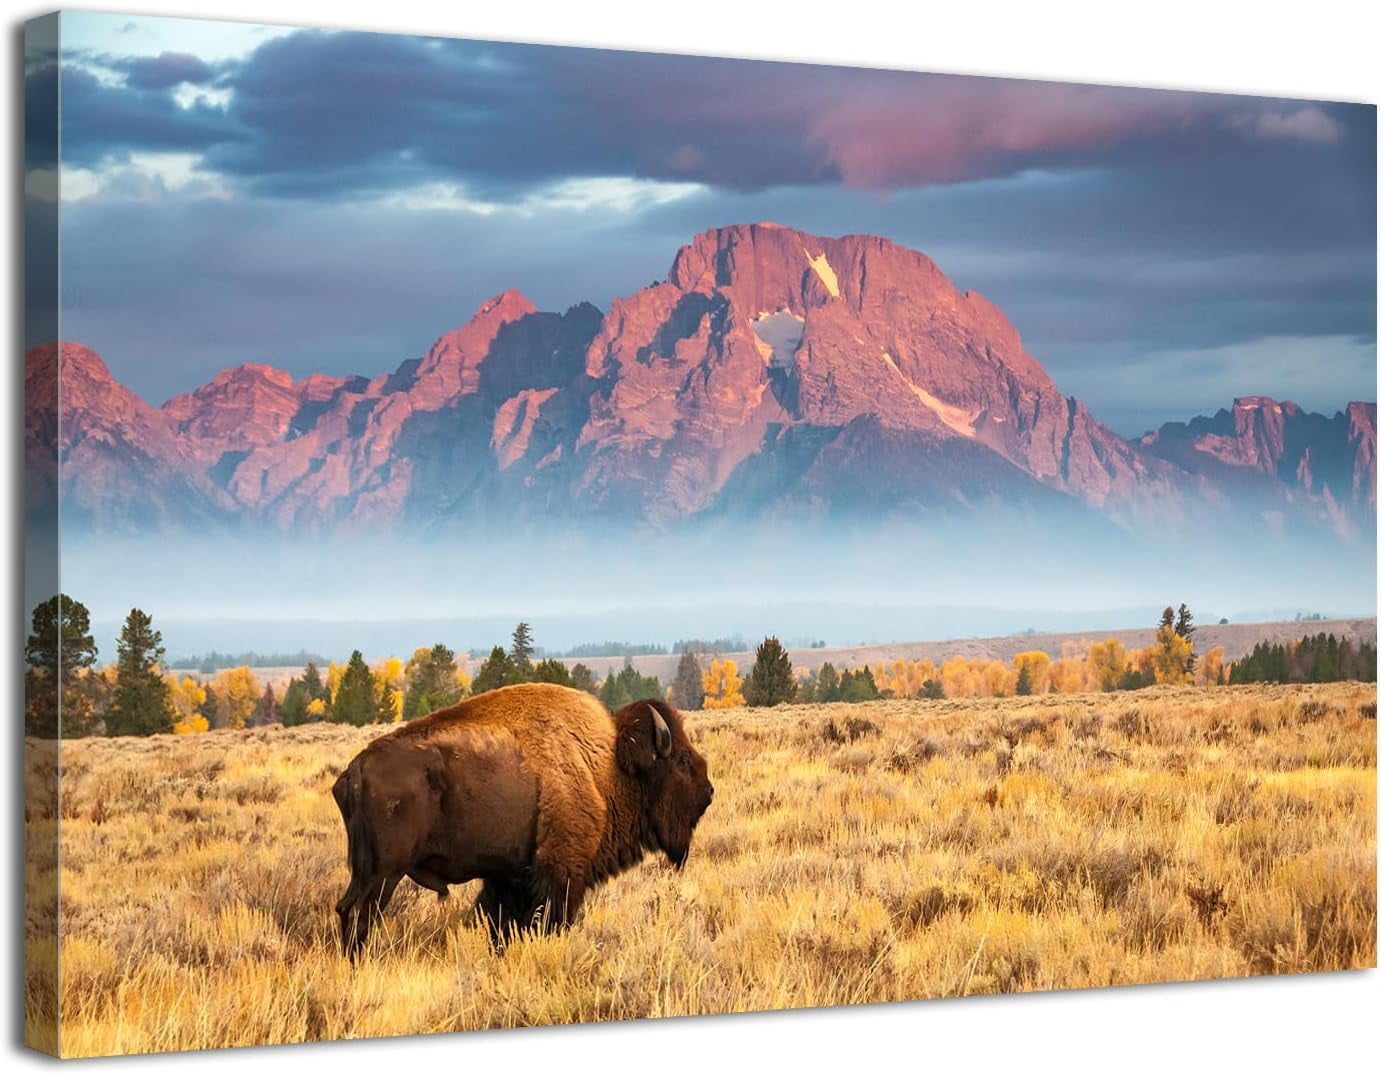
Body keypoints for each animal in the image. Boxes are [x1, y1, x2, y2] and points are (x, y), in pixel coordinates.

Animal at [331, 682, 714, 958]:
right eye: (681, 761)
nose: (709, 791)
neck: (607, 765)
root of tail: (355, 770)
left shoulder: (507, 877)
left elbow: (501, 924)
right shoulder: (561, 875)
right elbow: (548, 921)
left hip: (365, 871)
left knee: (346, 909)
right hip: (384, 873)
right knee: (362, 914)